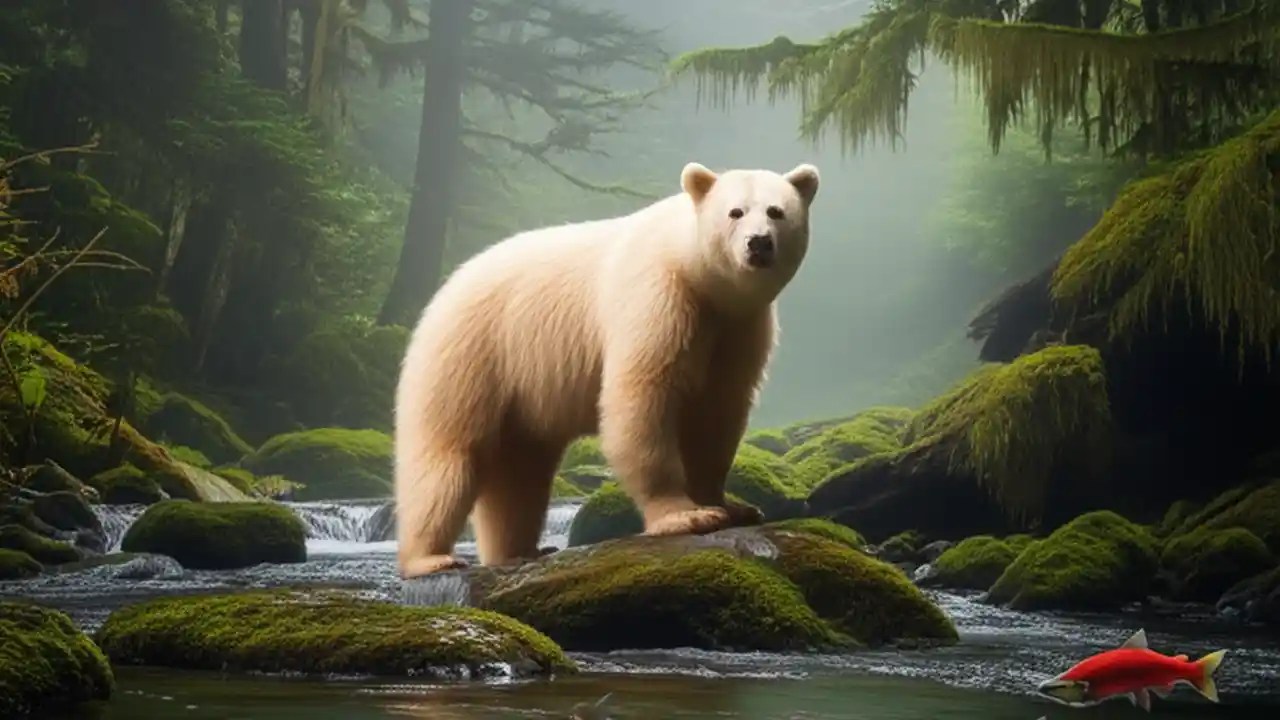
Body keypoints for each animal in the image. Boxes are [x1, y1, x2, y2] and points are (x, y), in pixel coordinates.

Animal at [394, 161, 821, 578]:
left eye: (776, 211)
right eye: (735, 212)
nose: (759, 243)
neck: (695, 272)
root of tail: (442, 293)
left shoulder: (738, 327)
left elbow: (718, 411)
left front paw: (731, 506)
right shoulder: (659, 299)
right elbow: (644, 398)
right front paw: (686, 516)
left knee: (519, 475)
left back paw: (519, 550)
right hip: (471, 355)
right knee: (448, 461)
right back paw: (431, 557)